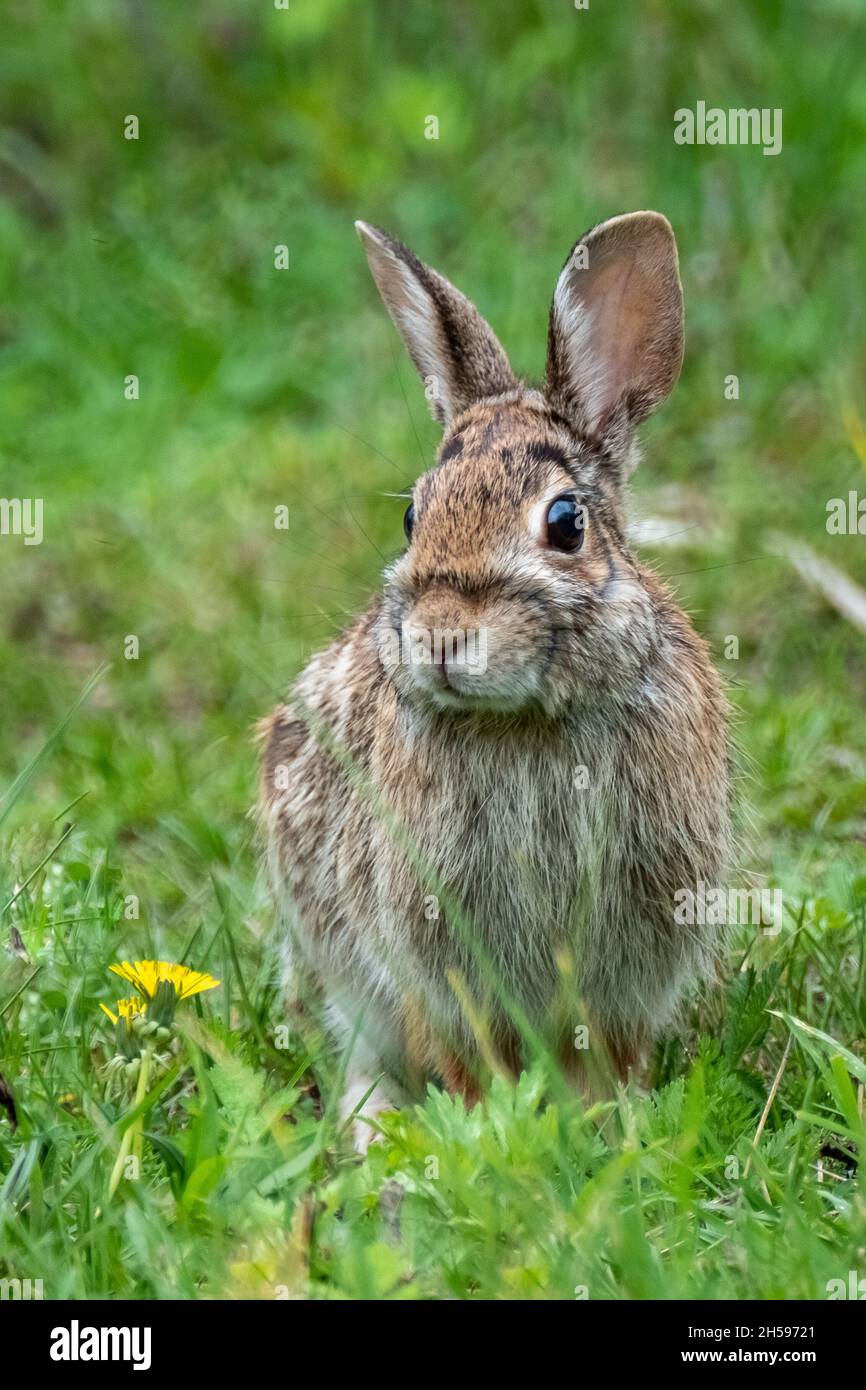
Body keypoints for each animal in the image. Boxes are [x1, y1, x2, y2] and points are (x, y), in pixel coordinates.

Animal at [259, 211, 730, 1148]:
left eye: (566, 522)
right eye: (414, 514)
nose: (443, 636)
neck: (527, 720)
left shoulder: (632, 955)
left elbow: (610, 1054)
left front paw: (614, 1132)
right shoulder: (436, 957)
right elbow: (470, 1058)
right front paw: (494, 1133)